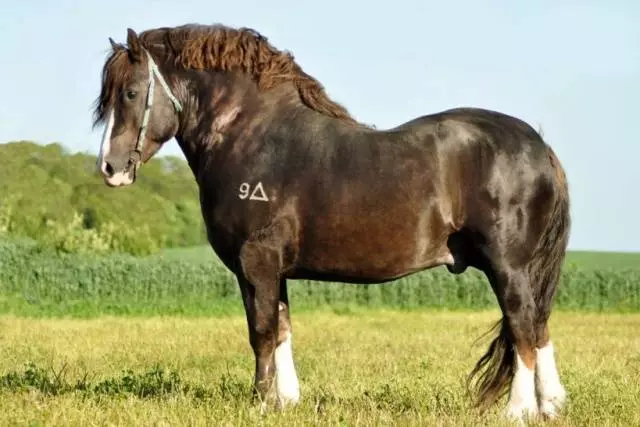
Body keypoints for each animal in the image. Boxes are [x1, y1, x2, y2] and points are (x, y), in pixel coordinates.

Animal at [94, 25, 568, 422]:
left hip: (510, 267)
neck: (252, 136)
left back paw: (520, 410)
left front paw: (260, 404)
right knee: (539, 327)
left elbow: (261, 332)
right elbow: (282, 328)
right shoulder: (273, 269)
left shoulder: (256, 263)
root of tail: (539, 146)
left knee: (523, 328)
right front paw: (287, 401)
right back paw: (551, 406)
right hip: (525, 271)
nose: (110, 168)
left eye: (131, 93)